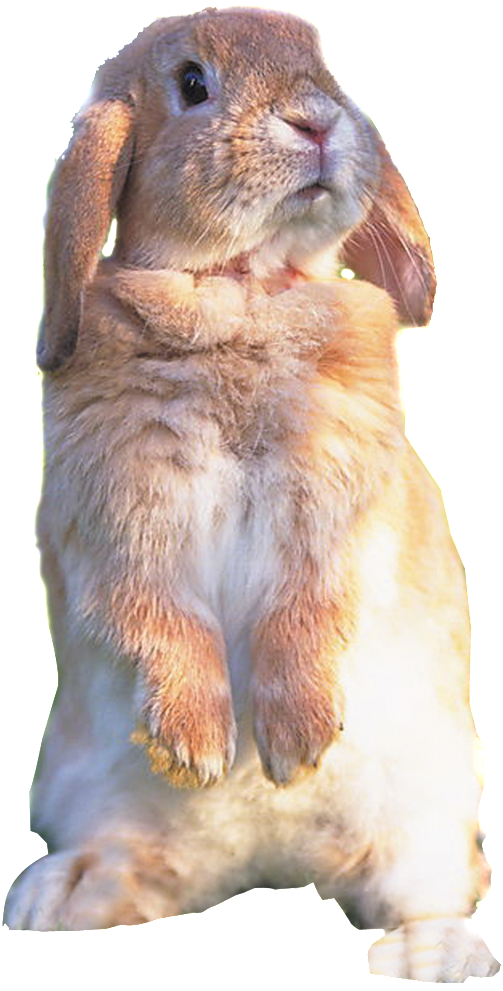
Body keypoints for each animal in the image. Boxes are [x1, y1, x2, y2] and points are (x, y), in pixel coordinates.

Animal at [3, 3, 499, 978]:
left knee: (443, 887)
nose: (316, 121)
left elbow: (305, 609)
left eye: (323, 61)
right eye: (192, 84)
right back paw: (58, 895)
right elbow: (160, 616)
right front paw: (197, 747)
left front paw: (298, 743)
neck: (240, 289)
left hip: (424, 828)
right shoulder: (122, 520)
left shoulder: (336, 512)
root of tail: (271, 860)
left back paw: (431, 956)